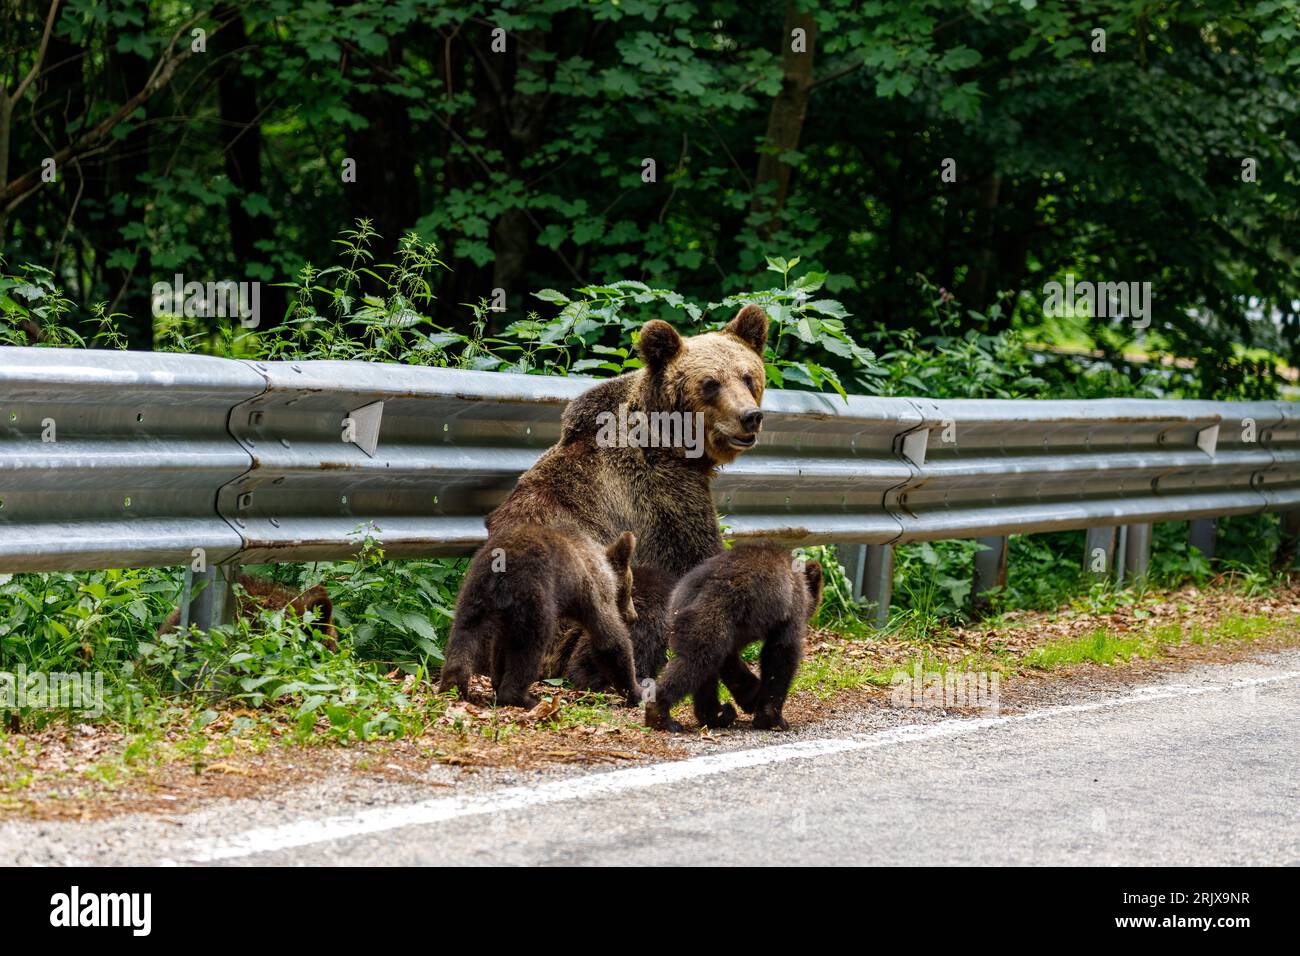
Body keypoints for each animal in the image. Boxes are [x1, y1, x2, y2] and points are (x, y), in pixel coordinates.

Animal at [437, 526, 641, 709]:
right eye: (631, 587)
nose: (633, 616)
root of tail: (504, 563)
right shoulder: (594, 591)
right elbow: (610, 641)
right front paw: (635, 692)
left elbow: (500, 645)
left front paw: (497, 678)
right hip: (535, 595)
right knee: (529, 647)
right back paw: (523, 698)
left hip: (475, 591)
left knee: (464, 632)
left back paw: (453, 685)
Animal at [644, 542, 823, 733]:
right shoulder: (788, 612)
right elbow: (781, 654)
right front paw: (772, 718)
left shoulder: (740, 630)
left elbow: (731, 661)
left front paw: (751, 695)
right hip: (715, 612)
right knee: (695, 661)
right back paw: (661, 714)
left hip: (697, 614)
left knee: (708, 668)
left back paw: (718, 714)